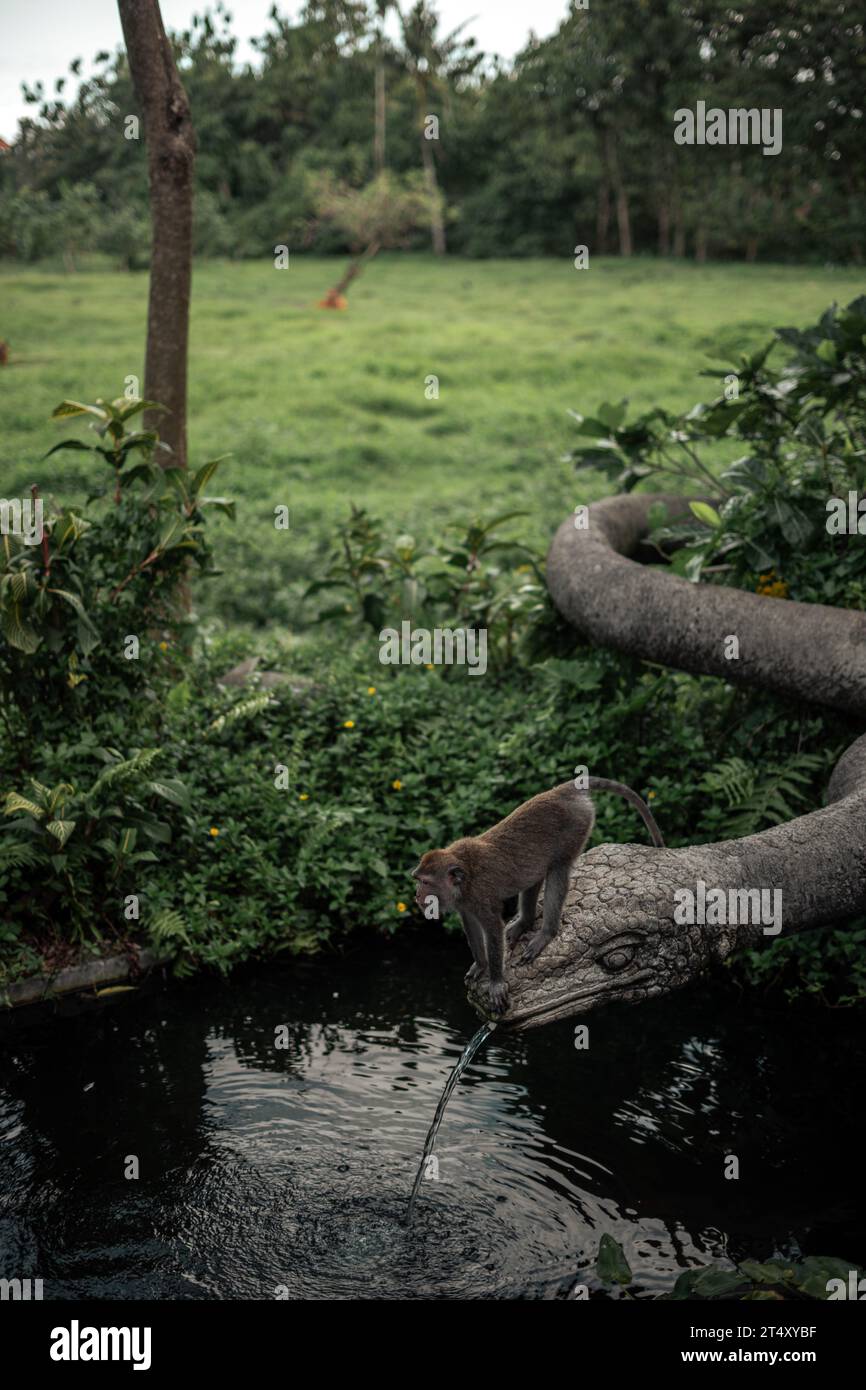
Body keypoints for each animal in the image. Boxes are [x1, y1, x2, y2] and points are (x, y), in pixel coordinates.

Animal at [411, 777, 664, 1015]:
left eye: (425, 882)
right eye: (418, 880)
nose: (417, 895)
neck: (465, 876)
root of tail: (560, 791)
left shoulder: (481, 894)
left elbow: (492, 929)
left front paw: (495, 981)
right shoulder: (465, 902)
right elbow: (471, 926)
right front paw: (481, 964)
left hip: (576, 825)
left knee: (558, 871)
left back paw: (546, 933)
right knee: (535, 874)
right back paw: (525, 922)